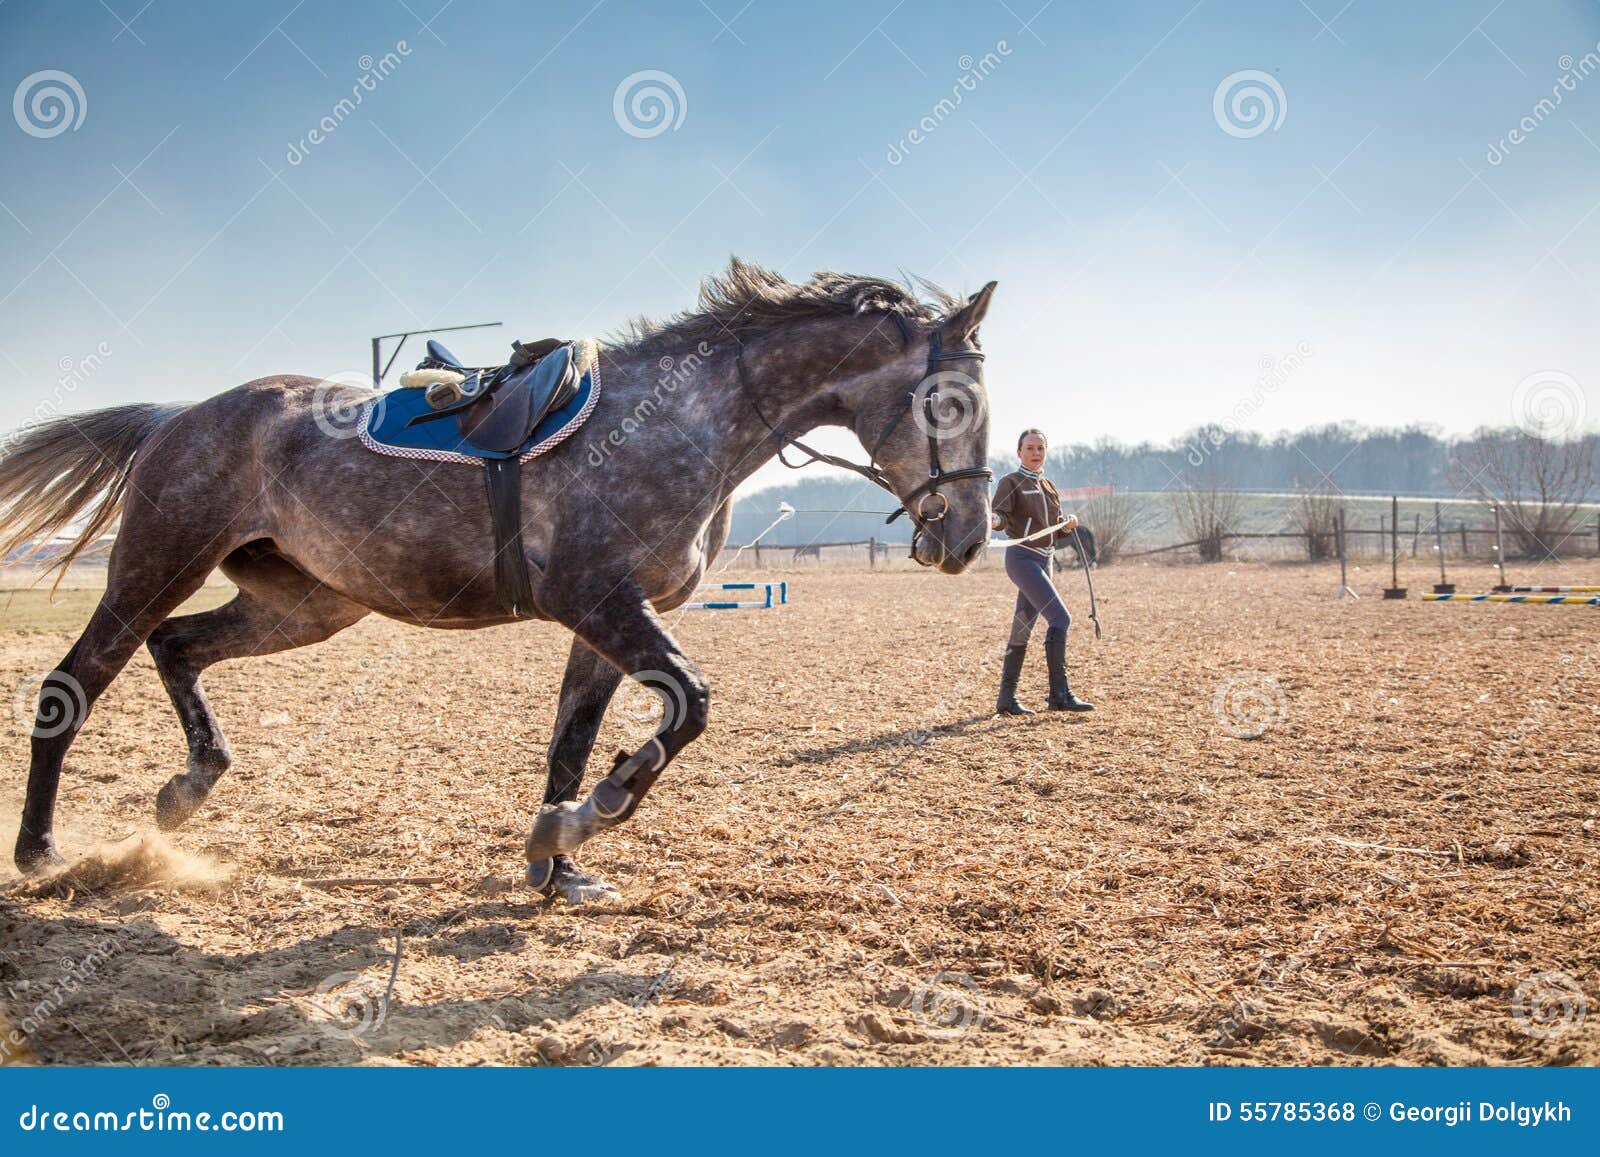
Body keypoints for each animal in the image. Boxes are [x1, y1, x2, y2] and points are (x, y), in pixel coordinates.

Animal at [2, 259, 996, 902]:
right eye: (949, 401)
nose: (968, 539)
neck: (683, 417)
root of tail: (180, 416)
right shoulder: (600, 601)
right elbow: (688, 707)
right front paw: (584, 820)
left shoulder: (606, 618)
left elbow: (575, 739)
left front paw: (557, 860)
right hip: (156, 566)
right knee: (71, 685)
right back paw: (43, 853)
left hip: (305, 603)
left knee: (178, 649)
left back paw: (187, 788)